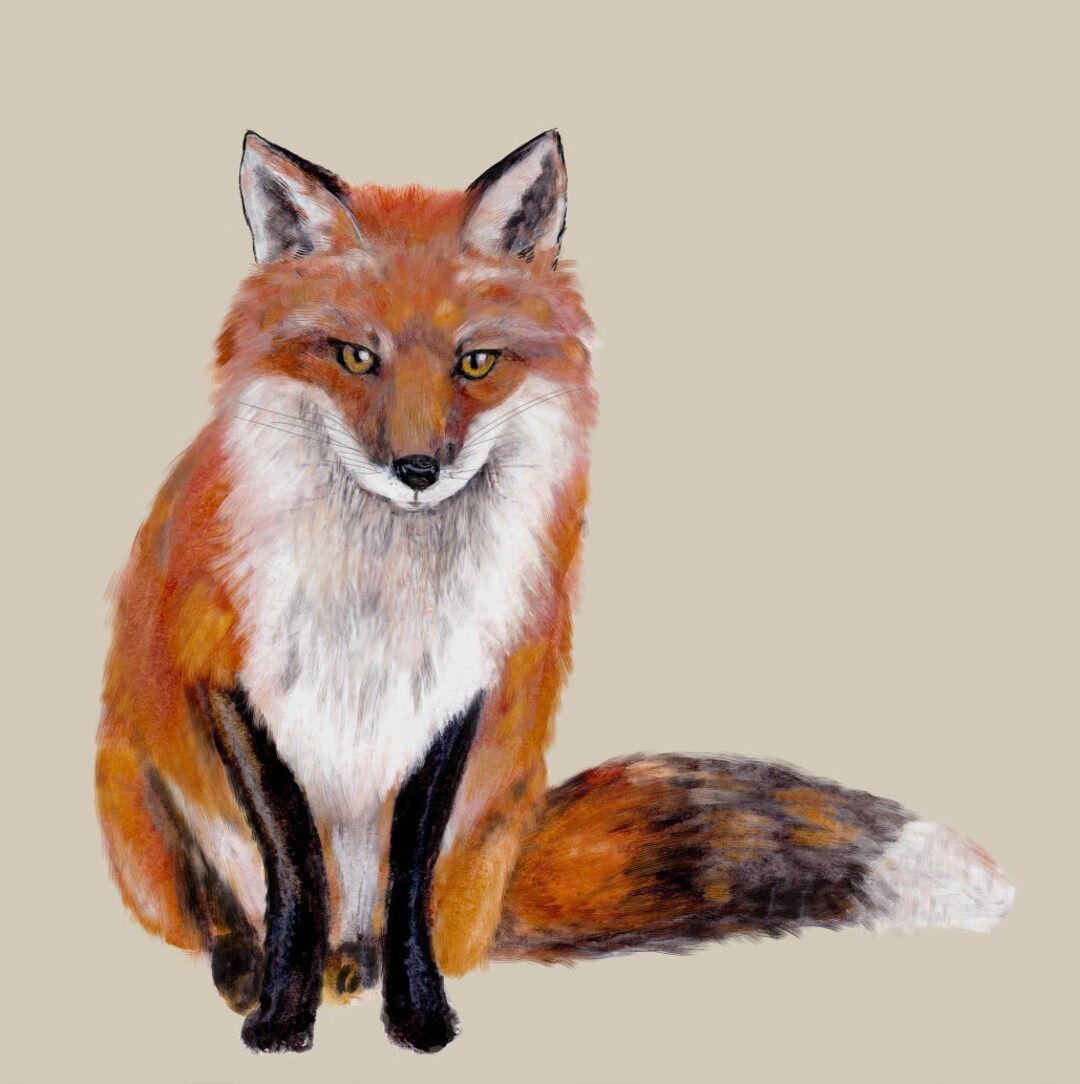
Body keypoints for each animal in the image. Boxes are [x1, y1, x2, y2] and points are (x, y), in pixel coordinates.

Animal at [95, 130, 1014, 1056]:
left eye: (476, 363)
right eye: (356, 356)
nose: (419, 472)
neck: (384, 589)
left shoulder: (460, 690)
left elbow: (409, 873)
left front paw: (419, 1017)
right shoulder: (226, 676)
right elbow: (295, 866)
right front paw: (281, 1017)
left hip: (487, 826)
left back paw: (362, 967)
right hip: (136, 796)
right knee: (224, 911)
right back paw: (250, 965)